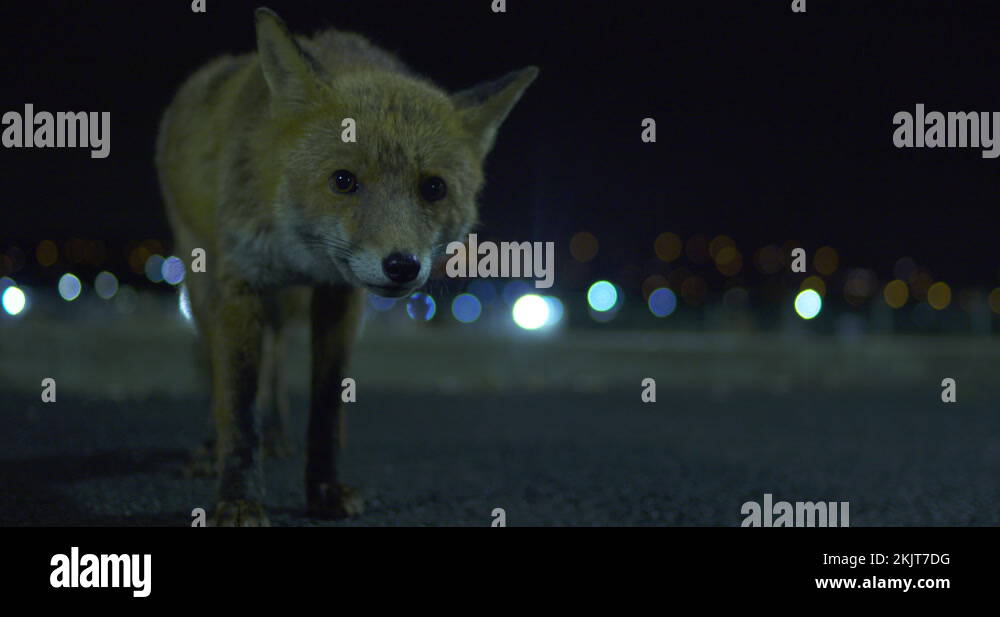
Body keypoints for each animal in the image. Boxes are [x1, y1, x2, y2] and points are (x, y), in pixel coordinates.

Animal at [155, 7, 537, 526]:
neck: (298, 253)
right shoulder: (241, 281)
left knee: (276, 361)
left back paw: (276, 435)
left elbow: (327, 408)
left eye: (433, 188)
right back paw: (211, 446)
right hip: (200, 279)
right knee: (219, 368)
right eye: (343, 181)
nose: (402, 265)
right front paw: (238, 497)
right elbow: (237, 401)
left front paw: (323, 489)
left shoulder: (339, 295)